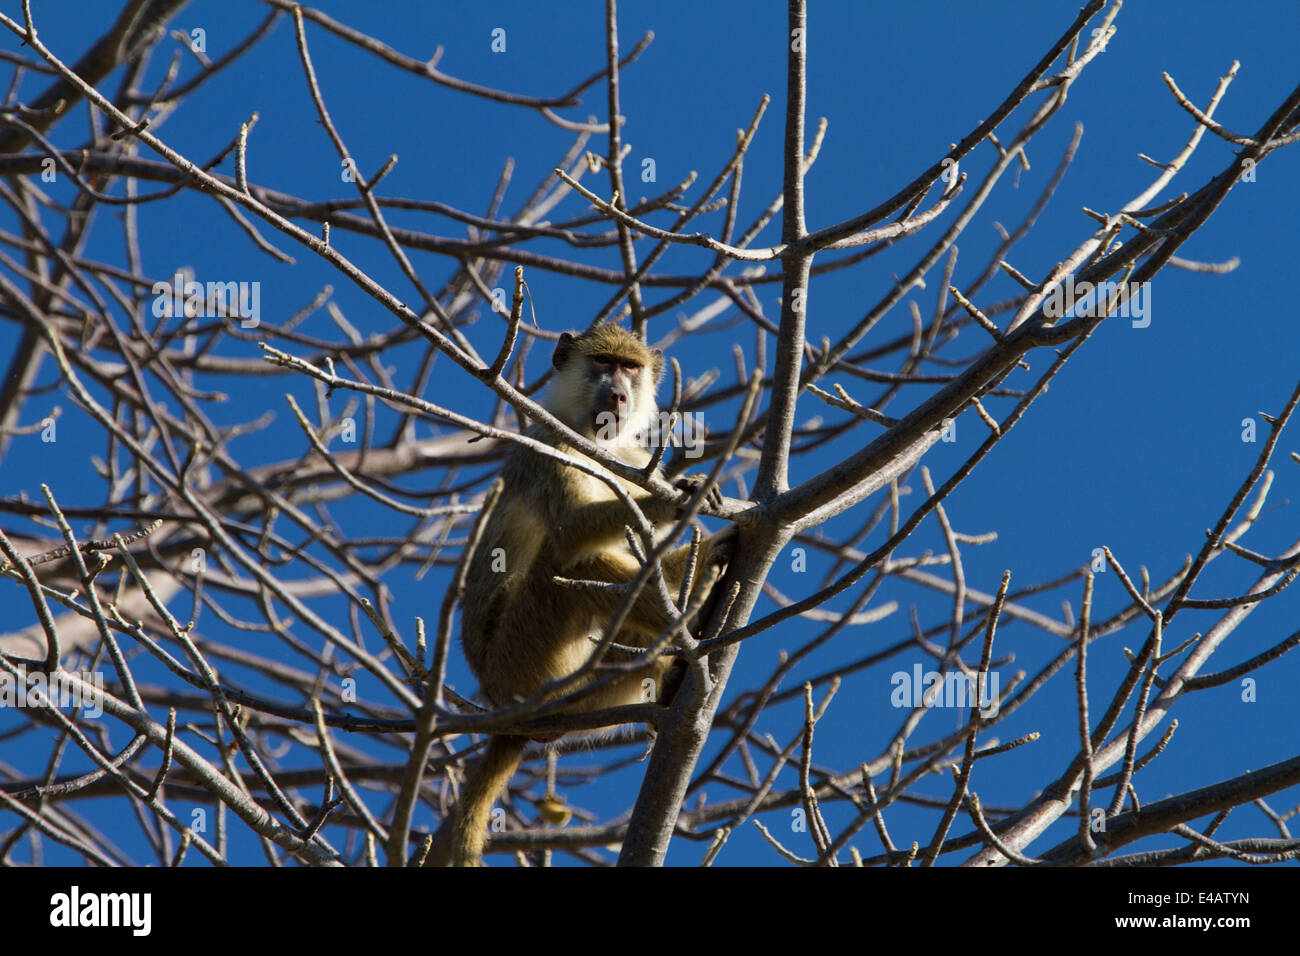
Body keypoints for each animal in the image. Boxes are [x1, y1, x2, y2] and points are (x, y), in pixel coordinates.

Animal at [428, 324, 732, 867]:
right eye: (603, 362)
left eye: (631, 367)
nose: (618, 393)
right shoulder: (550, 446)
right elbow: (570, 536)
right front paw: (685, 499)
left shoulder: (634, 459)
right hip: (526, 661)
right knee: (567, 564)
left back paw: (675, 661)